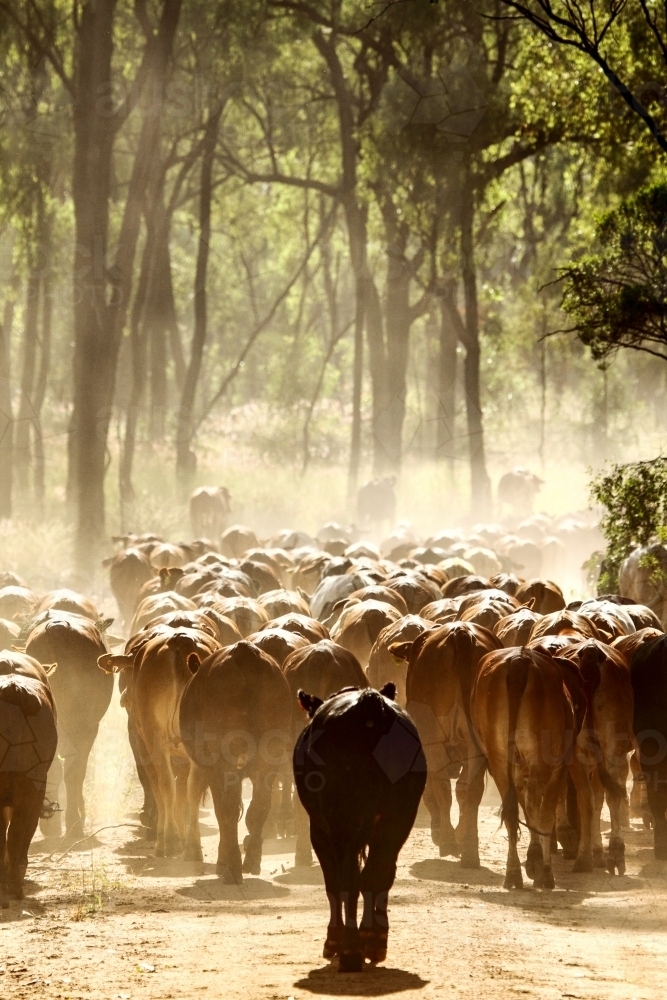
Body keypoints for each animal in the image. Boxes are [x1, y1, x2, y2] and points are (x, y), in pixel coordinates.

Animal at [25, 613, 113, 838]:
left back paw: (52, 824)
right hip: (81, 725)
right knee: (73, 771)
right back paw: (74, 823)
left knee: (54, 768)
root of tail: (58, 628)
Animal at [179, 641, 292, 881]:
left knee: (227, 809)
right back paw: (251, 860)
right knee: (259, 807)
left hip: (223, 761)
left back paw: (230, 866)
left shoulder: (206, 767)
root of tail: (244, 652)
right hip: (268, 757)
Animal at [294, 684, 426, 971]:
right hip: (398, 820)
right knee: (379, 874)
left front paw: (334, 938)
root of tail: (369, 703)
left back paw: (350, 950)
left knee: (350, 880)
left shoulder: (319, 832)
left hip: (344, 822)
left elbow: (333, 884)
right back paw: (374, 941)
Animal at [471, 646, 594, 889]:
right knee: (542, 809)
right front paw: (539, 862)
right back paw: (546, 873)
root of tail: (520, 660)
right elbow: (543, 811)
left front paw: (532, 857)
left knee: (513, 813)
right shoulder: (557, 768)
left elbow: (527, 809)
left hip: (499, 760)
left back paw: (513, 874)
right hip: (541, 761)